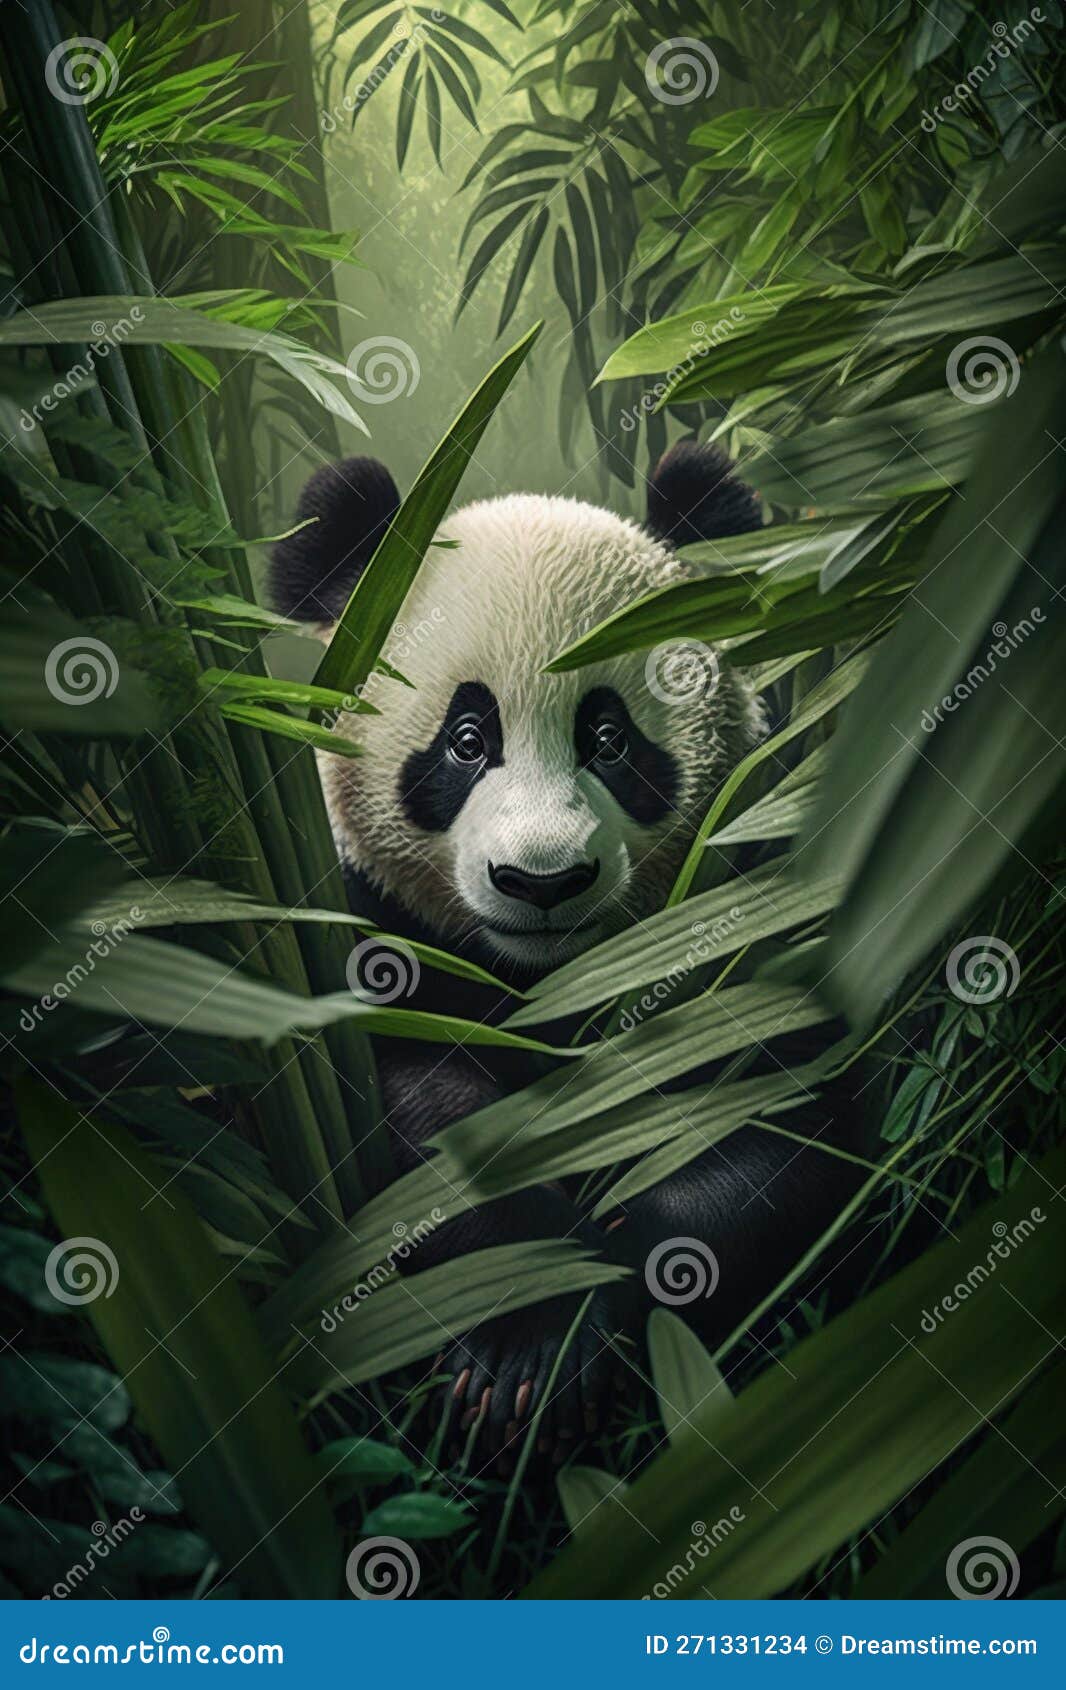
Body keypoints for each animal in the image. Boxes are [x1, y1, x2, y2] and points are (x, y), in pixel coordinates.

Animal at [271, 441, 862, 1456]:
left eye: (609, 739)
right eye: (467, 740)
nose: (542, 882)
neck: (546, 982)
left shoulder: (740, 907)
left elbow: (781, 1115)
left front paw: (609, 1296)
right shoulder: (372, 929)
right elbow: (422, 1120)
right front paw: (527, 1338)